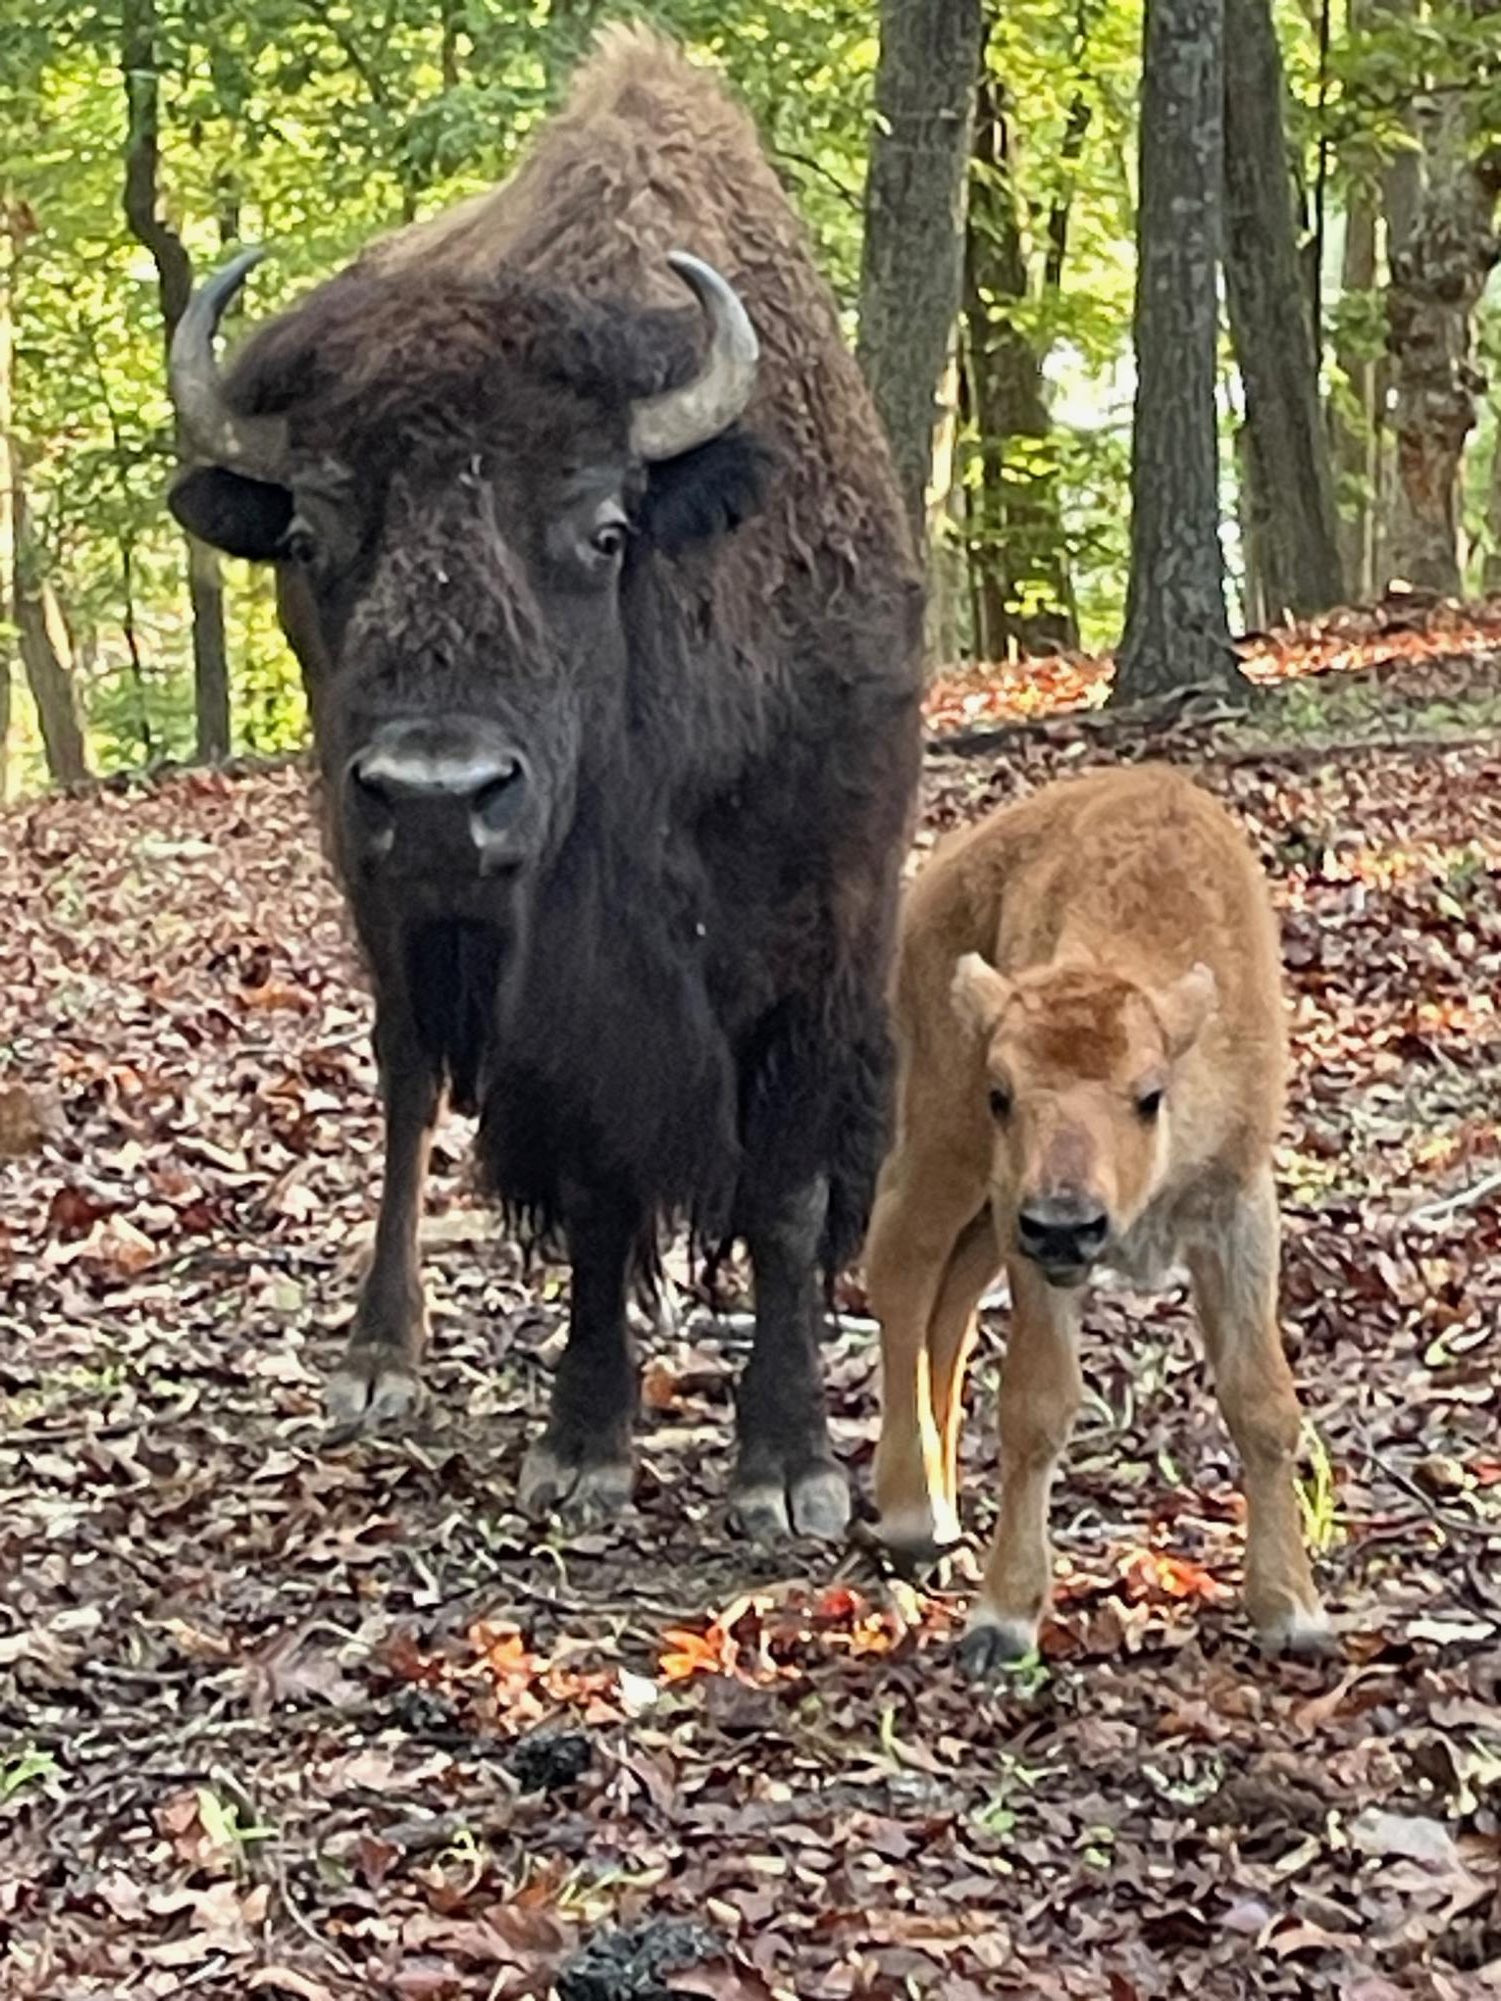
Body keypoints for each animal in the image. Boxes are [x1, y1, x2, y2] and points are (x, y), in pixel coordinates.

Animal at [166, 26, 924, 1540]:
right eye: (316, 533)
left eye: (604, 527)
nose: (438, 795)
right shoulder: (553, 995)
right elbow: (595, 1189)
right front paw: (584, 1447)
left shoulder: (827, 932)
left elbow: (785, 1192)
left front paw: (788, 1466)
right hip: (379, 892)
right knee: (407, 1077)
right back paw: (379, 1359)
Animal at [863, 765, 1333, 1670]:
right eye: (1001, 1092)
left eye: (1148, 1094)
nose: (1064, 1221)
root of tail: (941, 871)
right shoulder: (1030, 1235)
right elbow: (1036, 1404)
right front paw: (1001, 1618)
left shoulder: (1237, 1208)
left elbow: (1261, 1401)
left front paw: (1293, 1613)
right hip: (947, 1152)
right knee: (901, 1270)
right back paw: (911, 1515)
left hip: (991, 1217)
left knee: (950, 1307)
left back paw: (942, 1503)